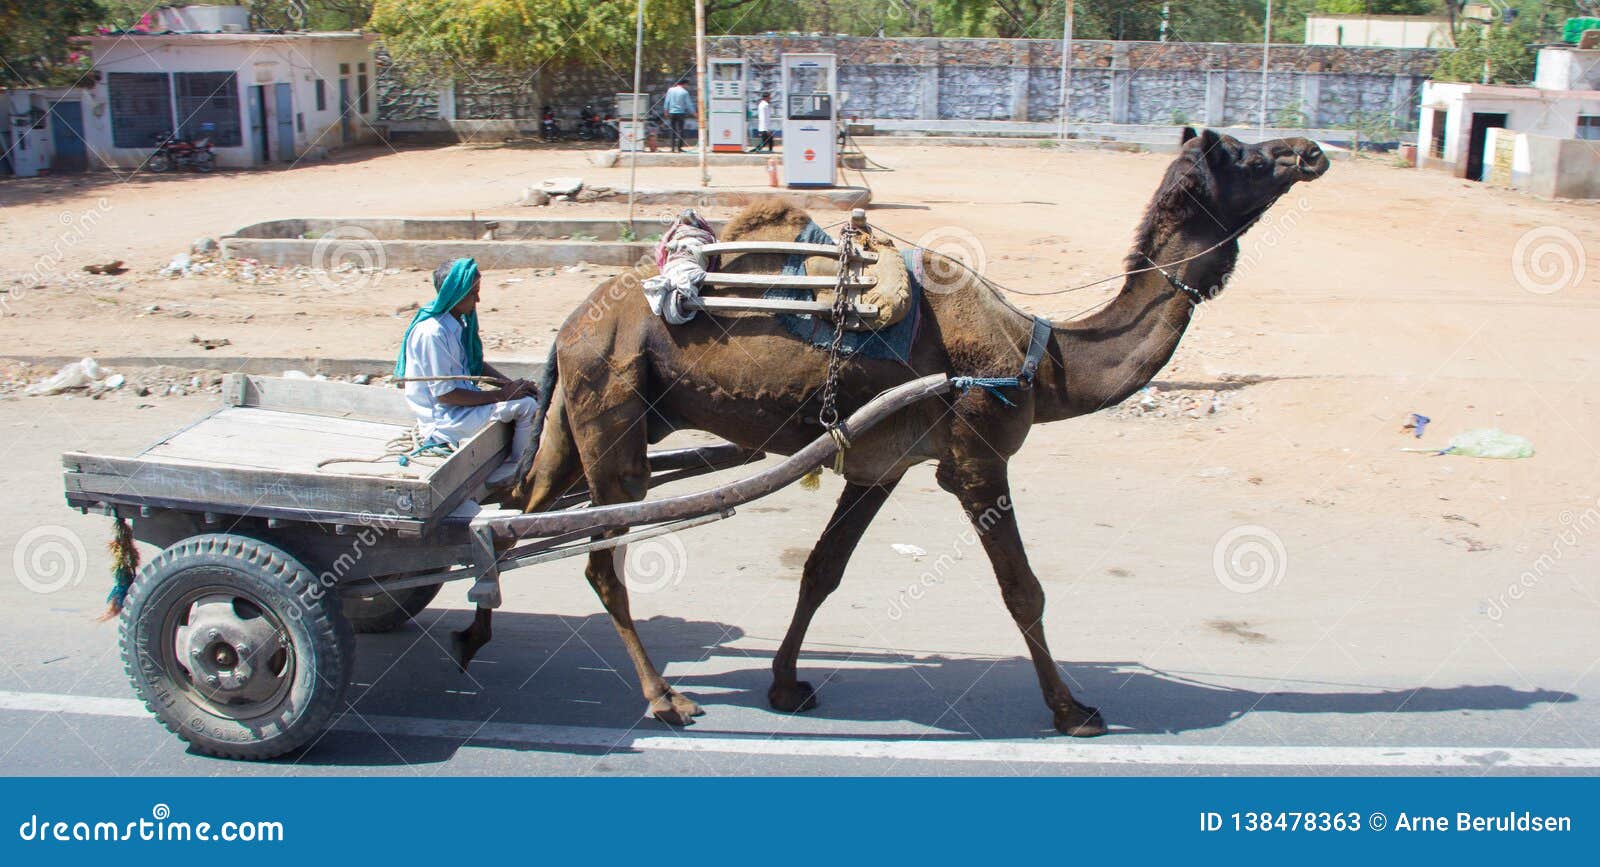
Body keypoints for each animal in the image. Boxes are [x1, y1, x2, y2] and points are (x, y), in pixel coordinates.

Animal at [478, 127, 1329, 736]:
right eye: (1242, 154)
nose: (1310, 150)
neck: (1039, 355)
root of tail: (569, 325)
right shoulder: (979, 460)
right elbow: (1023, 591)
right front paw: (1073, 709)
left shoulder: (880, 464)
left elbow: (822, 571)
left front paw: (786, 683)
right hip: (614, 422)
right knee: (600, 562)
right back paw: (664, 698)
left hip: (586, 423)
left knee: (515, 515)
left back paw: (475, 636)